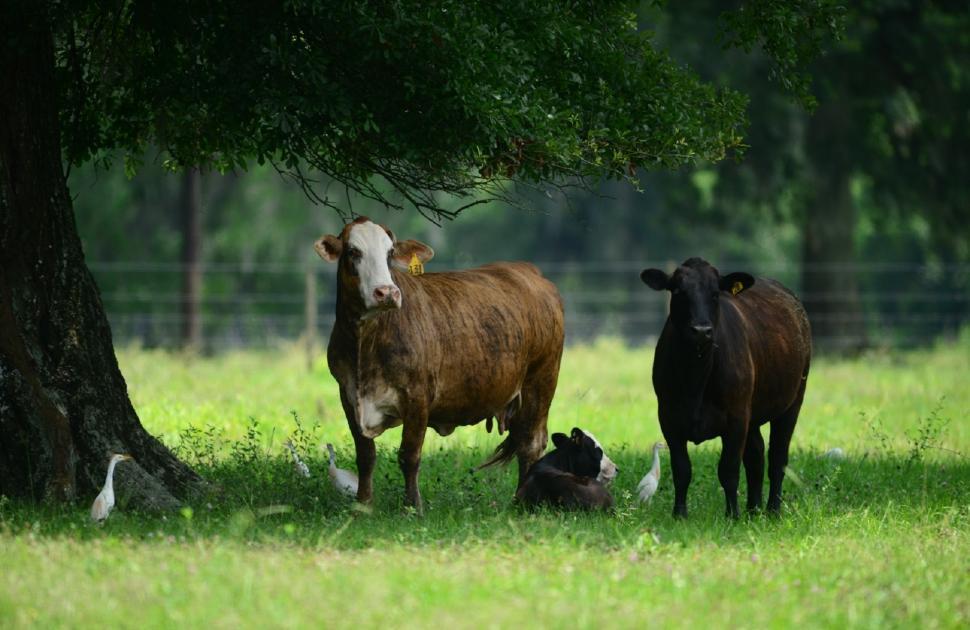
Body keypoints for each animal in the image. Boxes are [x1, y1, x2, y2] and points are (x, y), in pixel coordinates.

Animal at [315, 217, 565, 513]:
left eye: (390, 253)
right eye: (353, 251)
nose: (386, 292)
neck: (365, 346)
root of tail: (527, 270)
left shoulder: (417, 397)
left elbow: (409, 455)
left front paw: (412, 507)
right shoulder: (348, 394)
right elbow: (365, 455)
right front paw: (363, 504)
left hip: (540, 381)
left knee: (531, 443)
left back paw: (522, 501)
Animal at [640, 257, 811, 518]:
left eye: (715, 293)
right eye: (678, 291)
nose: (701, 330)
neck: (696, 377)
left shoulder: (736, 418)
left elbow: (728, 469)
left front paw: (732, 515)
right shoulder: (668, 417)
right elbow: (682, 469)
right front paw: (679, 514)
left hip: (792, 402)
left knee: (777, 458)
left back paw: (772, 509)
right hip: (753, 412)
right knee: (756, 456)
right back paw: (753, 509)